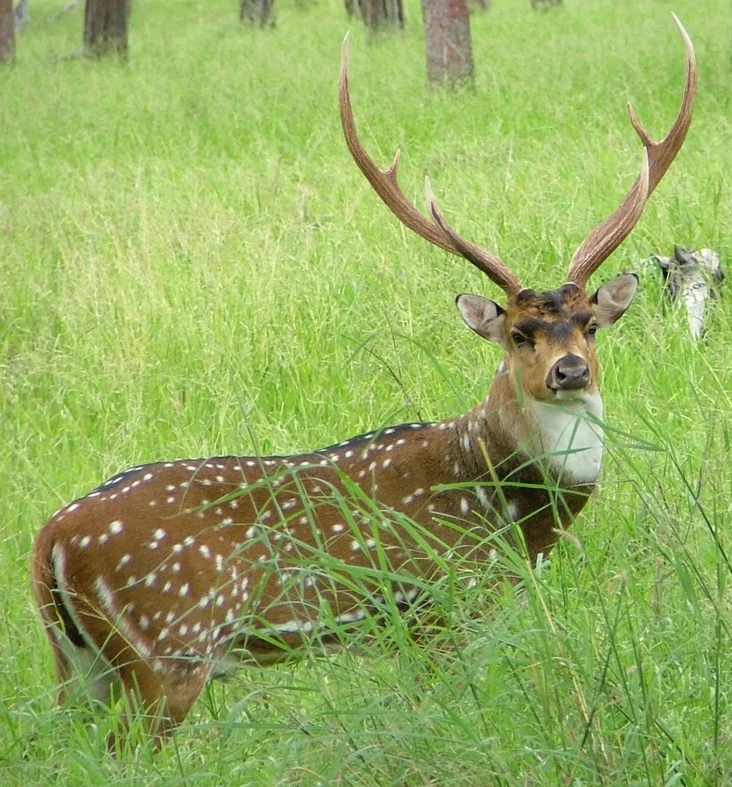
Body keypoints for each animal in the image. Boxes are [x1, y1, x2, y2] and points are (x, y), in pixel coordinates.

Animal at [31, 16, 696, 748]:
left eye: (589, 324)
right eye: (520, 332)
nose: (569, 370)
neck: (505, 508)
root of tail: (48, 543)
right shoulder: (439, 603)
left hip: (79, 665)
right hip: (168, 648)